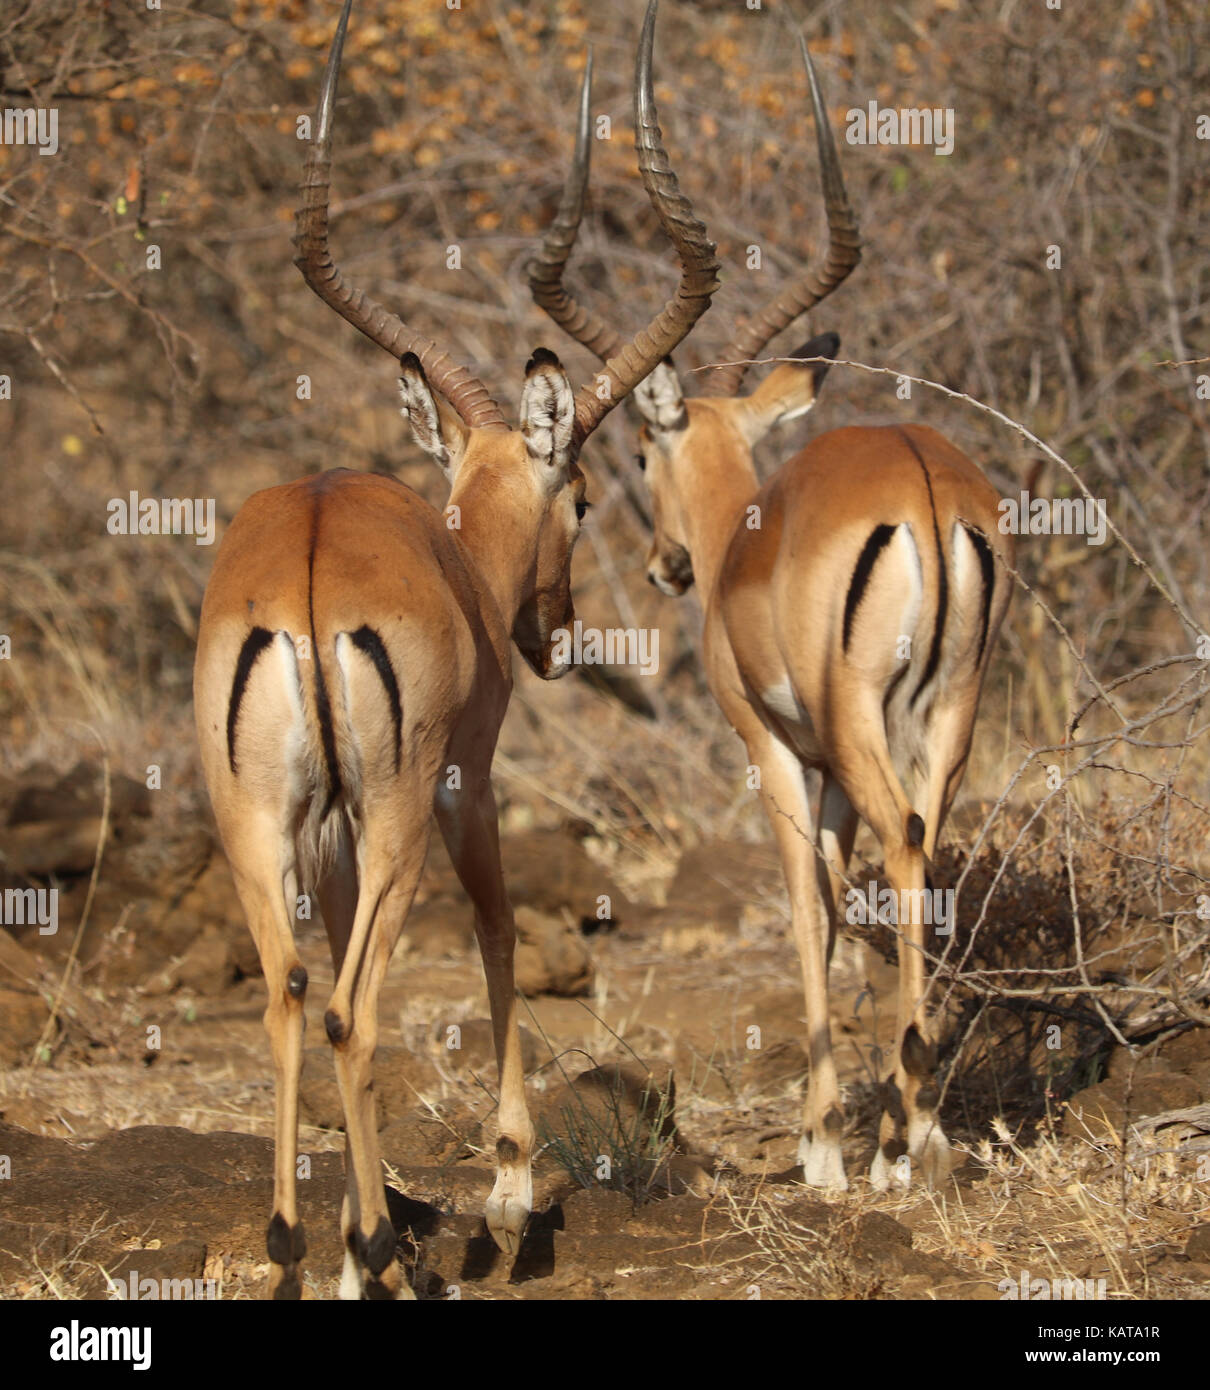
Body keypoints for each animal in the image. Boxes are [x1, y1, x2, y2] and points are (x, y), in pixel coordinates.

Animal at [194, 0, 717, 1298]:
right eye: (582, 495)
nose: (552, 631)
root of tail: (311, 563)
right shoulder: (464, 781)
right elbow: (496, 929)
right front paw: (510, 1194)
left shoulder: (328, 829)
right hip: (395, 816)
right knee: (353, 1008)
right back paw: (370, 1248)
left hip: (258, 820)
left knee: (292, 993)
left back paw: (299, 1245)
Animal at [530, 28, 1012, 1190]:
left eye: (640, 450)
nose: (665, 564)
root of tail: (925, 485)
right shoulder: (832, 764)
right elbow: (838, 905)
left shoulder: (779, 749)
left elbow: (806, 906)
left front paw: (822, 1144)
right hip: (952, 717)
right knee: (929, 851)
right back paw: (919, 1126)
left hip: (861, 724)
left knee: (903, 847)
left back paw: (898, 1142)